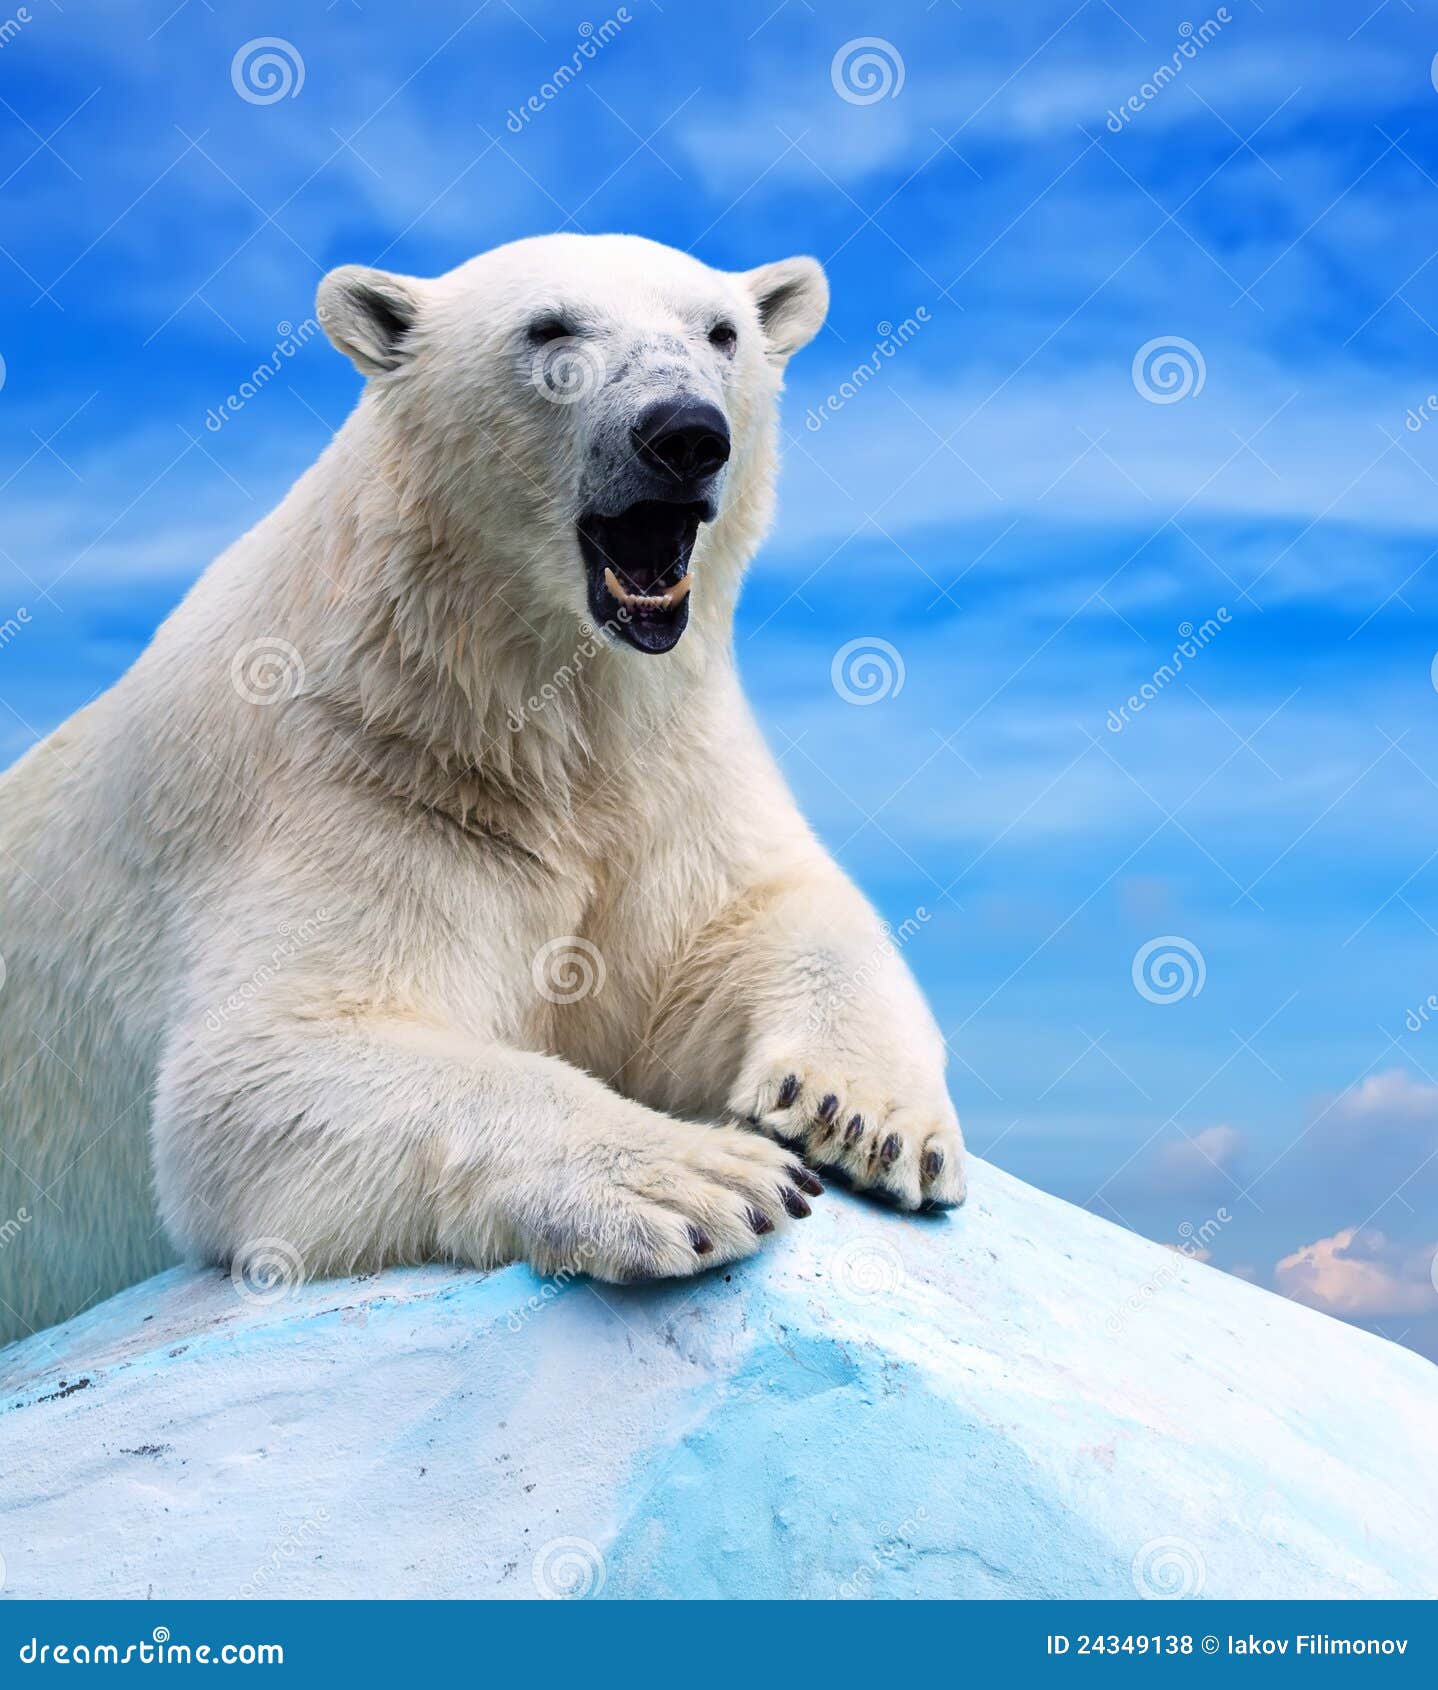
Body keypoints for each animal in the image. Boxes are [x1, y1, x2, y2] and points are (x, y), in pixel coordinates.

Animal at [0, 233, 965, 1348]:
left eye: (721, 332)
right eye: (549, 330)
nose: (683, 433)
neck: (521, 707)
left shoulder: (668, 777)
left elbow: (751, 920)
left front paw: (865, 1119)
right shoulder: (361, 781)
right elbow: (267, 1060)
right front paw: (702, 1177)